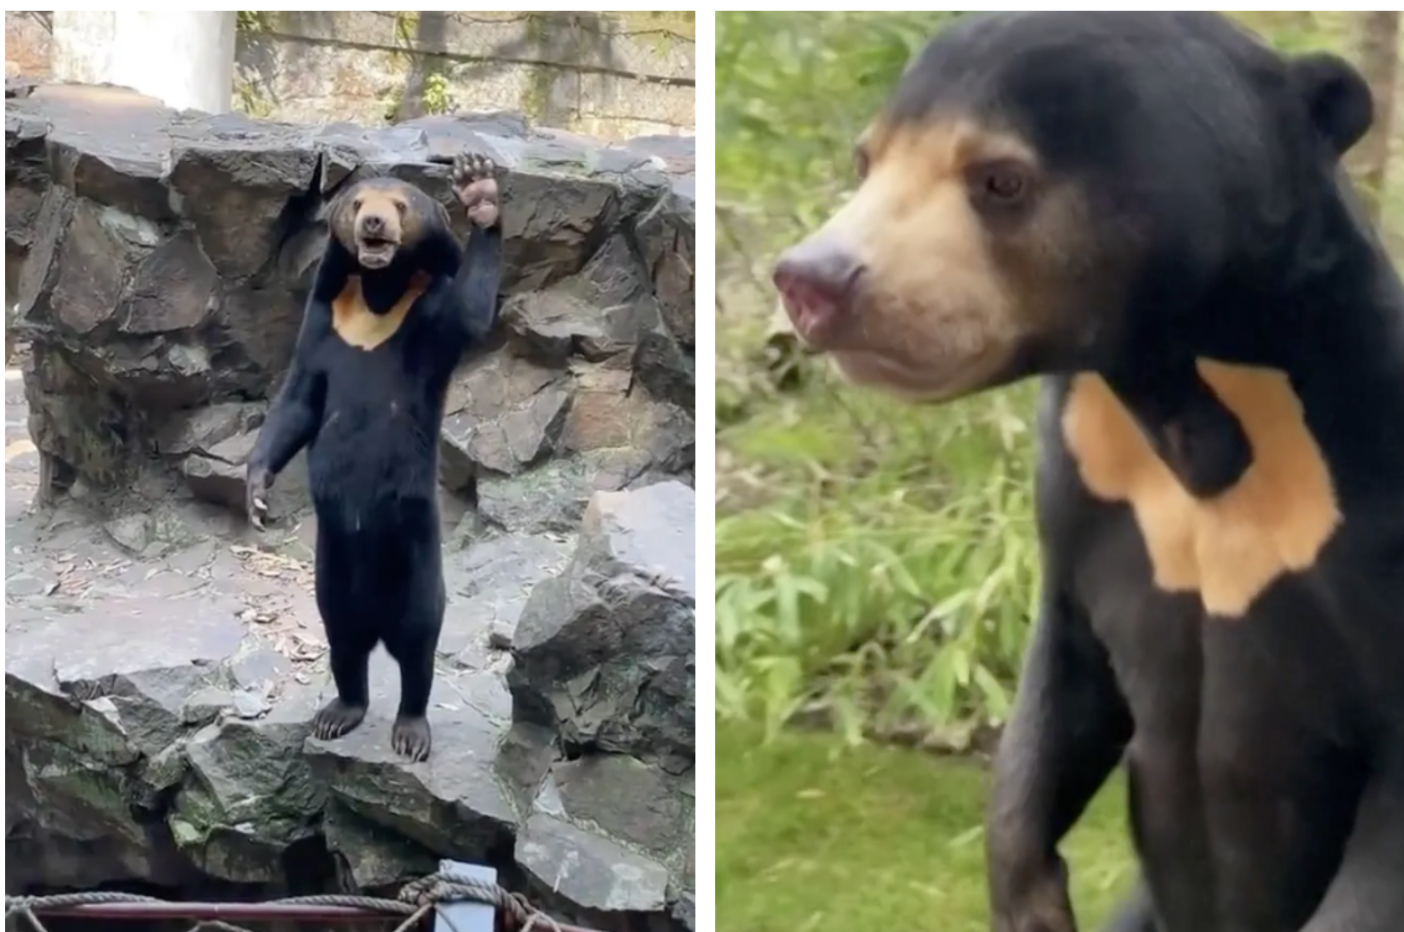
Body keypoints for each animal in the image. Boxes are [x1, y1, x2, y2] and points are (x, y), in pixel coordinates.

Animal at [245, 152, 503, 763]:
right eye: (359, 203)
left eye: (401, 205)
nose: (375, 225)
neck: (379, 295)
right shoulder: (325, 319)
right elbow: (299, 399)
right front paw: (257, 494)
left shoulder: (430, 314)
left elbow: (472, 313)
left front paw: (480, 190)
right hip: (332, 568)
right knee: (343, 638)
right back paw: (339, 713)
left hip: (415, 551)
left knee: (418, 639)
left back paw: (410, 730)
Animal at [774, 12, 1404, 932]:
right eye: (867, 161)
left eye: (1000, 179)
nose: (810, 281)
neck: (1178, 392)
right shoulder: (1083, 485)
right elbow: (1062, 684)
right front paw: (1029, 899)